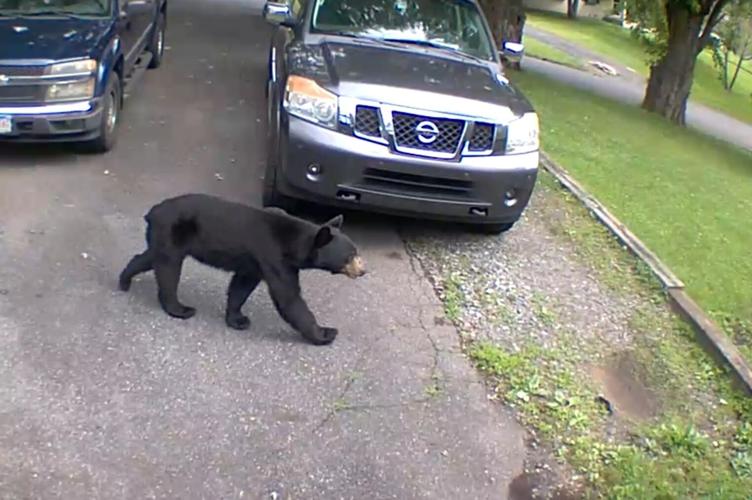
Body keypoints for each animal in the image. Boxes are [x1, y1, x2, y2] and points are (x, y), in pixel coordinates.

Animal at [118, 193, 366, 345]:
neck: (293, 243)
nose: (363, 271)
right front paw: (325, 333)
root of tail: (152, 212)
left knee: (149, 258)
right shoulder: (275, 257)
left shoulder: (254, 262)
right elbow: (289, 299)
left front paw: (237, 319)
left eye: (356, 251)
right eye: (350, 256)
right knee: (168, 269)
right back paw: (180, 308)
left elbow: (241, 286)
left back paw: (124, 280)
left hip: (163, 237)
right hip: (173, 234)